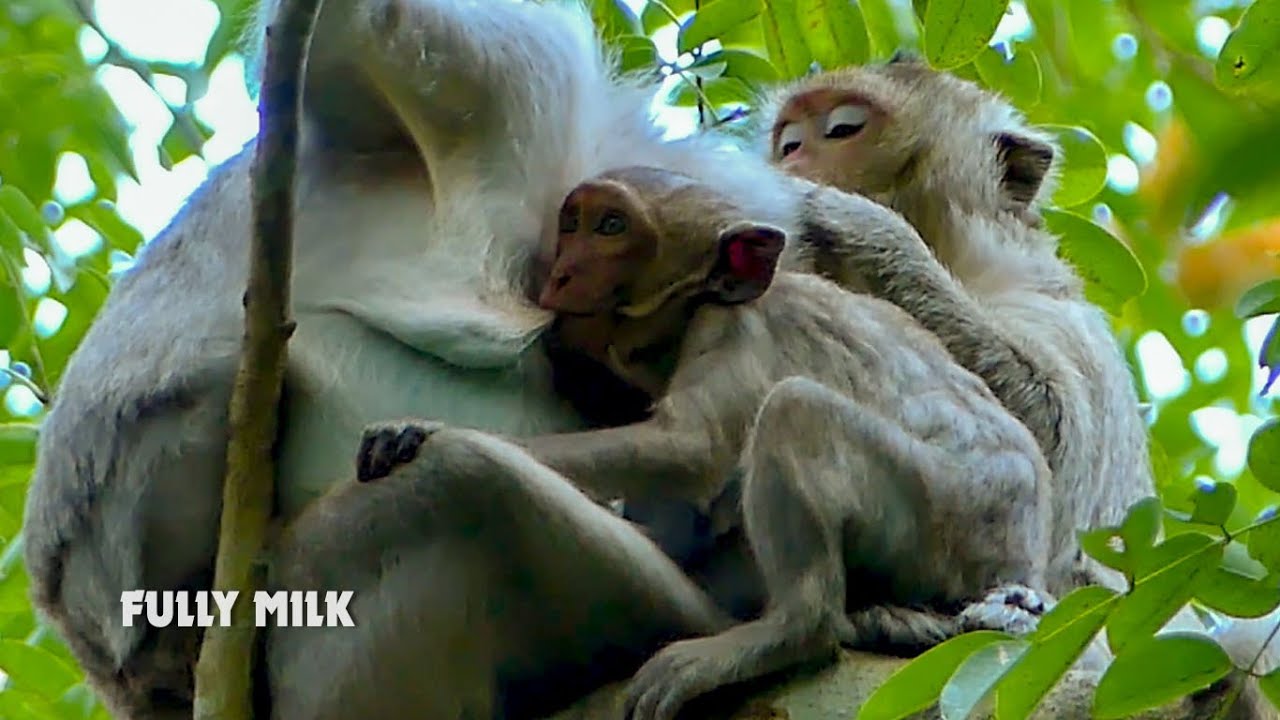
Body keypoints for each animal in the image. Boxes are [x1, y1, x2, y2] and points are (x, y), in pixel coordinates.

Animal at [355, 164, 1056, 719]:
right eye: (573, 222)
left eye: (612, 227)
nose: (563, 270)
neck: (691, 310)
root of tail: (1025, 558)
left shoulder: (733, 328)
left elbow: (689, 449)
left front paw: (435, 430)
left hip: (946, 518)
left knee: (796, 413)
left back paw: (790, 630)